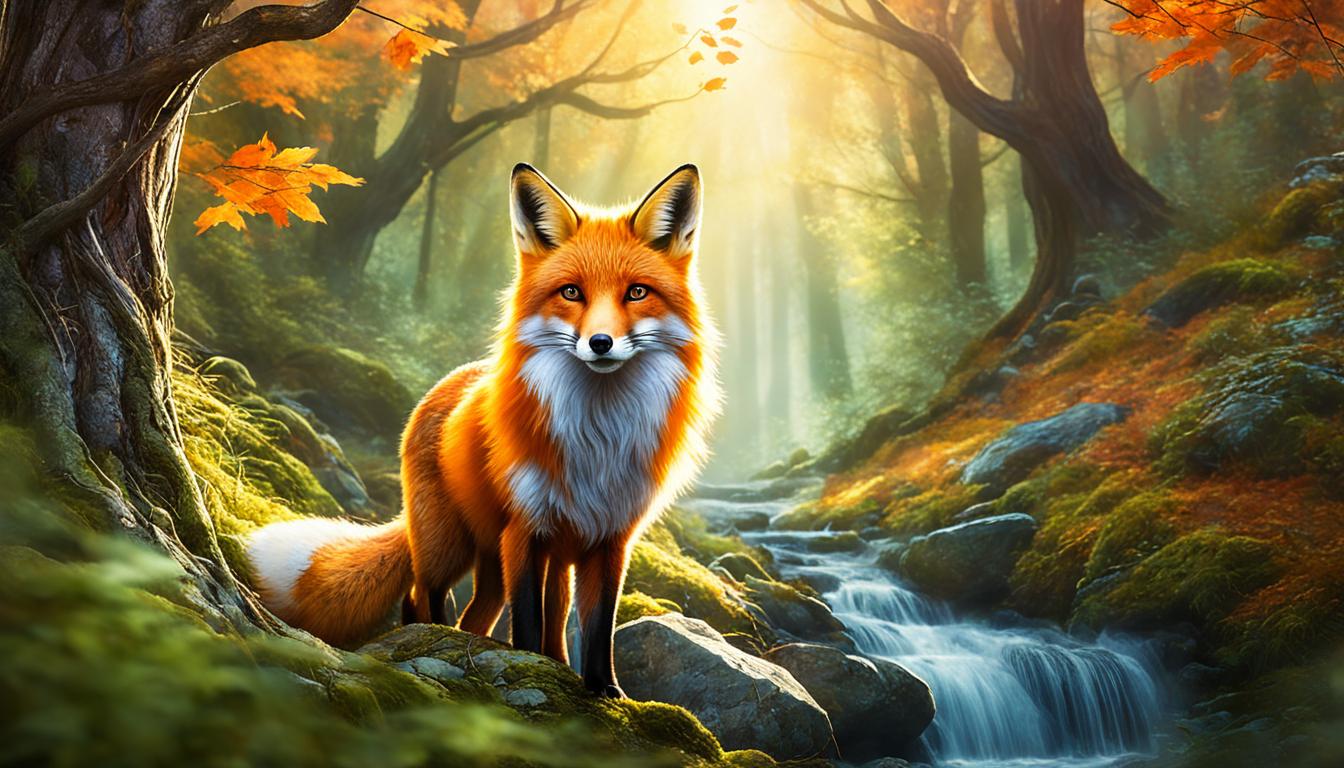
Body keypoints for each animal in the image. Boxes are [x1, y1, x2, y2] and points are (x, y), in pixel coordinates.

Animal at [246, 163, 720, 697]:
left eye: (637, 292)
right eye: (571, 292)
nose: (600, 343)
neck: (597, 437)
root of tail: (446, 382)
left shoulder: (610, 539)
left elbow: (599, 626)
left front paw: (604, 690)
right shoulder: (525, 529)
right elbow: (529, 621)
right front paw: (534, 668)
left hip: (512, 562)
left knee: (490, 615)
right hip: (449, 545)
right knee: (421, 593)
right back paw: (427, 634)